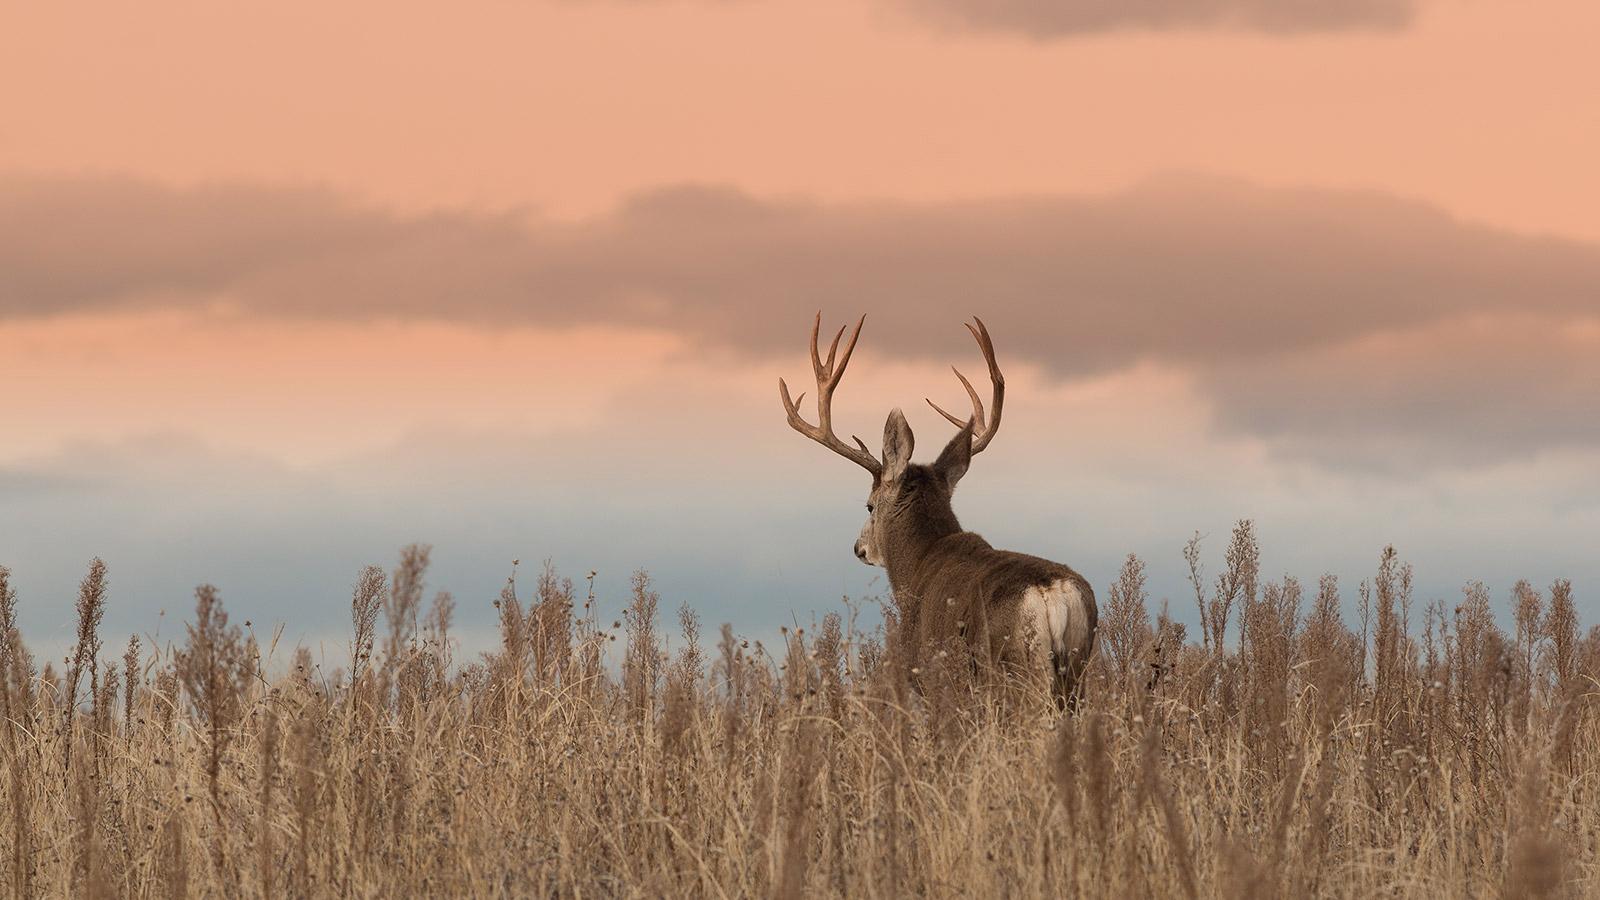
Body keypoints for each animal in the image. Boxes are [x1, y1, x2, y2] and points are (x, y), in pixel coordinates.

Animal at [780, 313, 1098, 710]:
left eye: (869, 505)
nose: (859, 548)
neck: (916, 566)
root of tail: (1054, 594)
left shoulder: (928, 672)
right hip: (1077, 667)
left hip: (1019, 668)